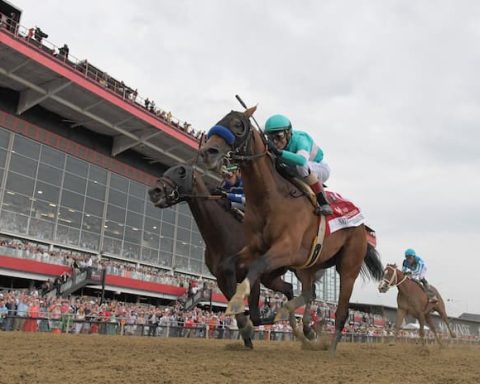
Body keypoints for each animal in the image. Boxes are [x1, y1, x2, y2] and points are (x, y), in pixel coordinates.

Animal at [148, 164, 294, 350]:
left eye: (181, 172)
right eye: (166, 171)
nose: (155, 191)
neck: (225, 234)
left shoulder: (251, 275)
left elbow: (254, 315)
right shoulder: (222, 278)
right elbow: (240, 312)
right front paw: (247, 337)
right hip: (271, 277)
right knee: (289, 287)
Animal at [198, 106, 382, 352]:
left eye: (238, 125)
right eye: (220, 120)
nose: (207, 152)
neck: (271, 198)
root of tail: (362, 224)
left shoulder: (286, 248)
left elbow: (257, 266)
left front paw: (238, 302)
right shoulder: (255, 247)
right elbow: (229, 265)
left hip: (348, 266)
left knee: (341, 311)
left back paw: (330, 346)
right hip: (309, 265)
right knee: (309, 292)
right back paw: (305, 326)